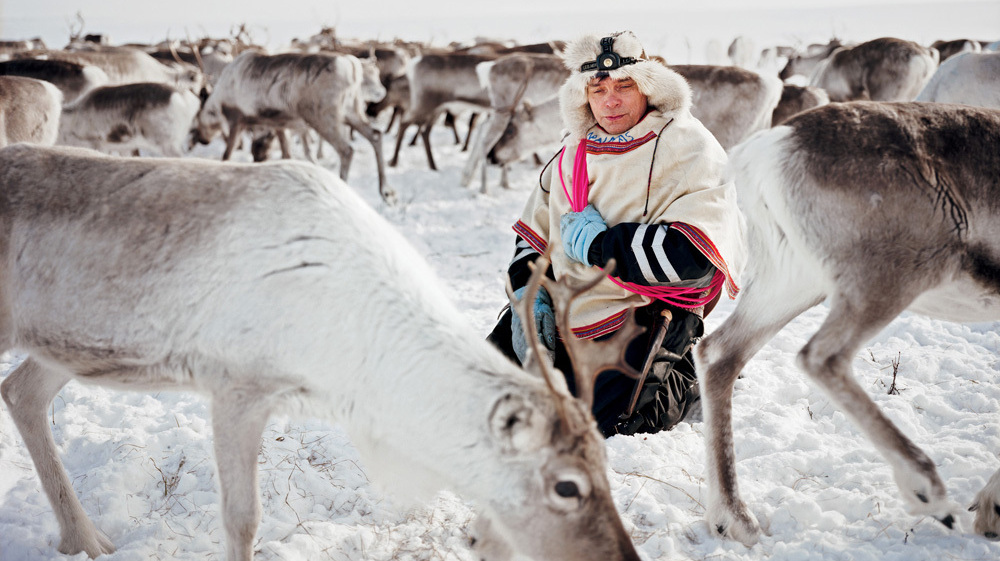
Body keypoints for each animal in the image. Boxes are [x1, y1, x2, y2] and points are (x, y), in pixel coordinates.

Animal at [0, 143, 642, 561]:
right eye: (567, 486)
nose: (621, 560)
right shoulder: (237, 385)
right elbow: (243, 520)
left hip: (62, 342)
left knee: (20, 390)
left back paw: (84, 541)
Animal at [695, 101, 1000, 547]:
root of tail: (769, 147)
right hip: (887, 278)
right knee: (821, 357)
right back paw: (929, 493)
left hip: (792, 279)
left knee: (719, 353)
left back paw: (734, 517)